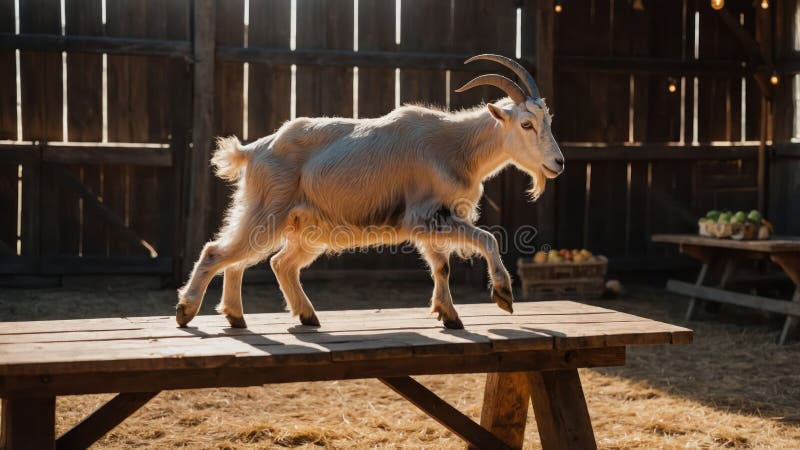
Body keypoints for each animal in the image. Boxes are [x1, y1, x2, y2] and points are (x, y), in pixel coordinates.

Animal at [177, 54, 564, 329]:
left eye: (548, 121)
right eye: (526, 124)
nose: (557, 163)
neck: (455, 144)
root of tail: (254, 149)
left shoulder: (430, 222)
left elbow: (441, 267)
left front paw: (449, 316)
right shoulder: (426, 215)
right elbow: (487, 238)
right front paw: (503, 294)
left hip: (299, 227)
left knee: (270, 262)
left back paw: (261, 316)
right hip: (267, 212)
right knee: (218, 252)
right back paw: (186, 311)